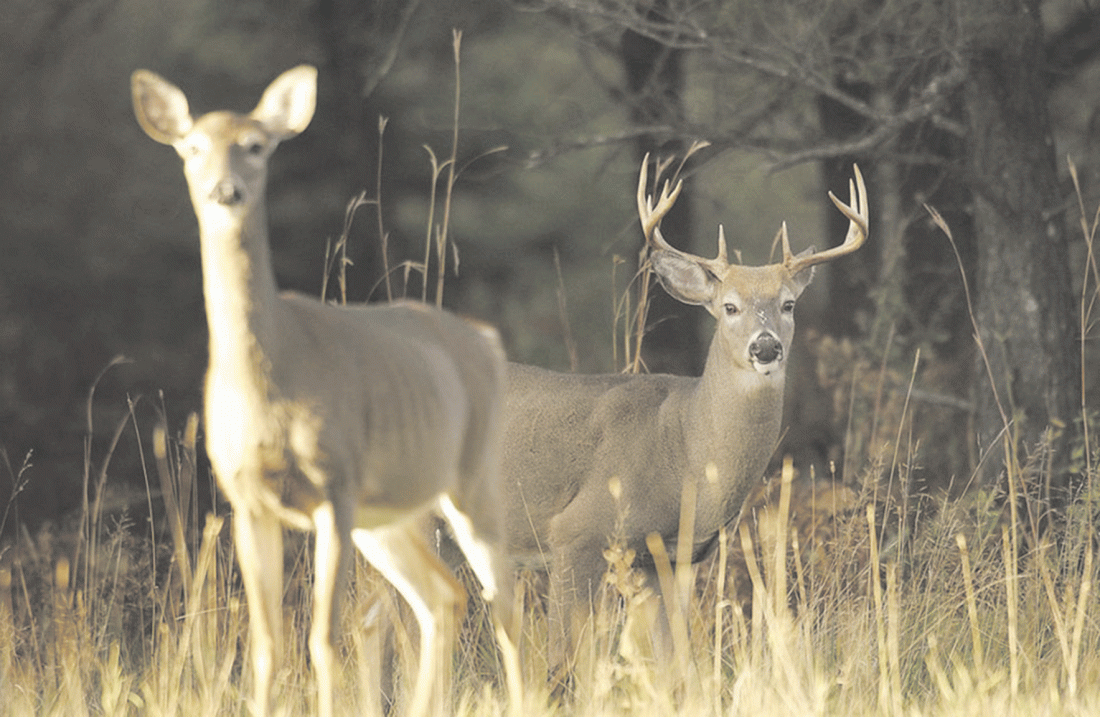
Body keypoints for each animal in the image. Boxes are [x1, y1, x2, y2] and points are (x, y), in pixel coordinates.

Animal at [131, 65, 520, 717]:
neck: (271, 382)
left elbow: (323, 636)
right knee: (443, 597)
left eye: (256, 145)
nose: (225, 191)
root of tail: (487, 340)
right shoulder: (247, 499)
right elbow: (266, 645)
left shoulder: (334, 487)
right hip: (386, 515)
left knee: (503, 604)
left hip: (471, 479)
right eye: (192, 147)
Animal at [502, 156, 868, 679]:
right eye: (729, 306)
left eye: (788, 304)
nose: (765, 347)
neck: (684, 451)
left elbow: (677, 665)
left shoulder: (672, 557)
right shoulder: (573, 532)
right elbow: (561, 665)